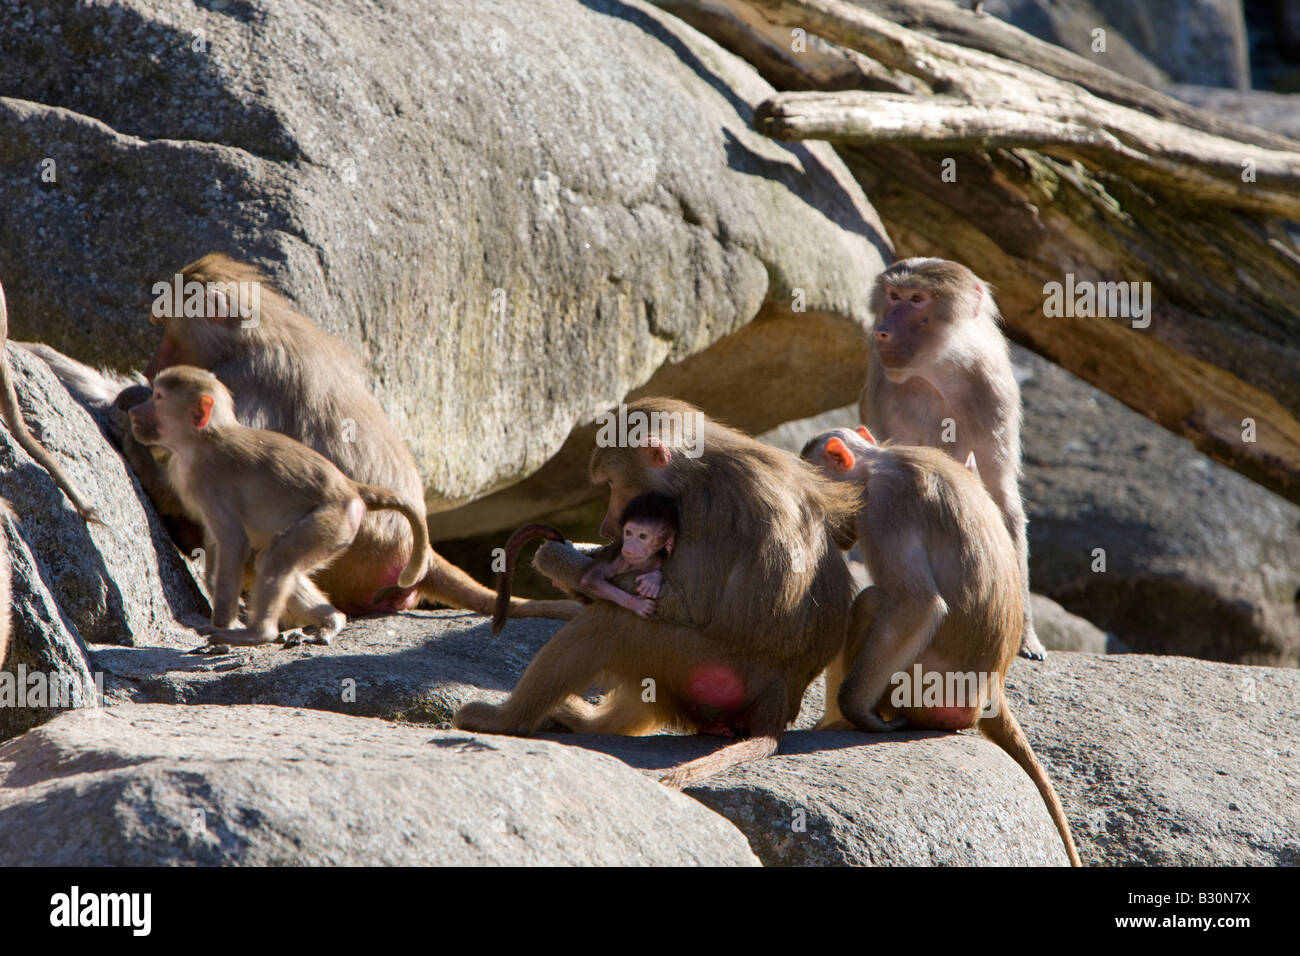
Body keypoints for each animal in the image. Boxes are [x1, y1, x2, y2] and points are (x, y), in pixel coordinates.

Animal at [128, 365, 430, 646]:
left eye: (158, 397)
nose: (133, 411)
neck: (202, 440)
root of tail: (350, 487)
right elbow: (215, 542)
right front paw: (215, 590)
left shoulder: (207, 481)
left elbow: (233, 541)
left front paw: (222, 624)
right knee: (272, 560)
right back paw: (331, 621)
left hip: (335, 519)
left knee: (275, 558)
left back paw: (259, 634)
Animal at [454, 397, 859, 790]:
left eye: (612, 483)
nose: (606, 528)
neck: (694, 471)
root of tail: (779, 702)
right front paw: (583, 555)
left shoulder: (704, 512)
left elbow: (686, 604)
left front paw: (560, 562)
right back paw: (583, 721)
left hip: (709, 669)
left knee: (611, 625)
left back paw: (506, 720)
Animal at [803, 426, 1081, 866]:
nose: (837, 535)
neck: (876, 463)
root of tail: (992, 691)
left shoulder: (885, 511)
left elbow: (917, 604)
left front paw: (860, 714)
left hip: (922, 690)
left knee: (873, 601)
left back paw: (844, 720)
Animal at [861, 257, 1045, 660]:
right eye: (893, 295)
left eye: (917, 299)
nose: (882, 332)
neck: (941, 372)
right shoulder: (886, 392)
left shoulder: (993, 393)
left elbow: (1000, 498)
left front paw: (1025, 637)